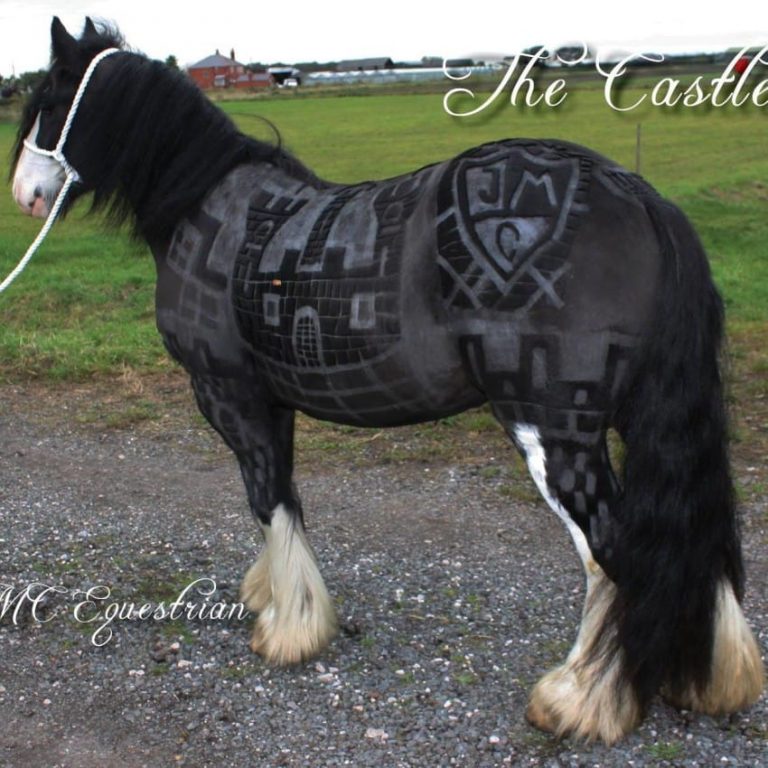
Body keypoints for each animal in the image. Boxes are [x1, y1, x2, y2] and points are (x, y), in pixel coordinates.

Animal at [10, 18, 763, 744]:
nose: (25, 193)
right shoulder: (272, 402)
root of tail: (635, 194)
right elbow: (282, 499)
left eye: (49, 100)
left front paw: (289, 629)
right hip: (643, 416)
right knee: (694, 536)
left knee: (613, 553)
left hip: (556, 431)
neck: (210, 209)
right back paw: (712, 678)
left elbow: (268, 498)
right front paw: (273, 595)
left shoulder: (230, 395)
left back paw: (581, 701)